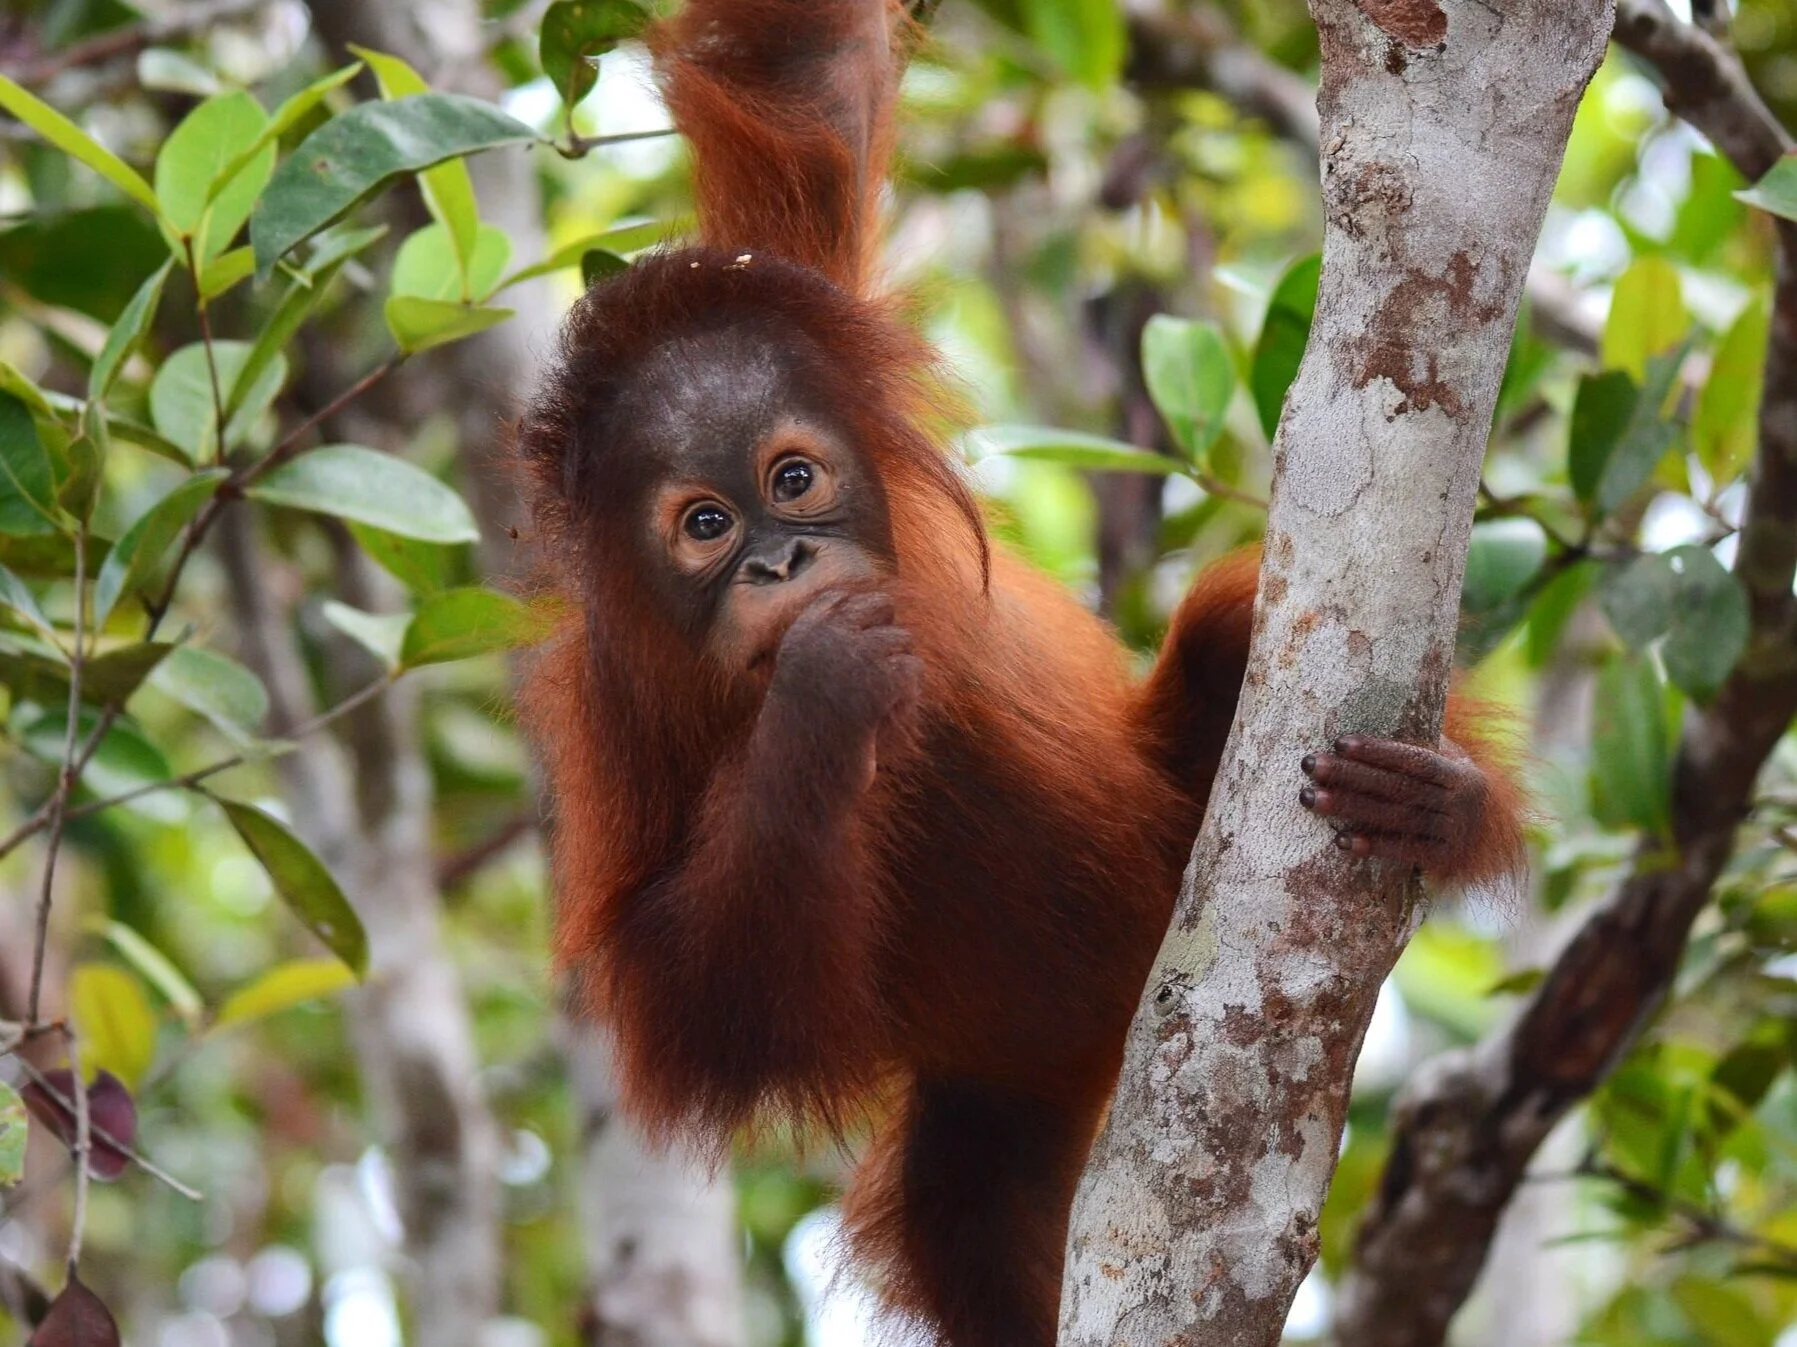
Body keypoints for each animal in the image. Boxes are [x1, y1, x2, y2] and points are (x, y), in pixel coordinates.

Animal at [515, 1, 1526, 1341]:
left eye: (794, 478)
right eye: (705, 525)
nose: (782, 561)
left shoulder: (789, 283)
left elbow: (801, 84)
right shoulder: (606, 726)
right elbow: (698, 1002)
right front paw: (821, 698)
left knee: (1226, 635)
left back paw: (1443, 803)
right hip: (1007, 1092)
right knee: (967, 1204)